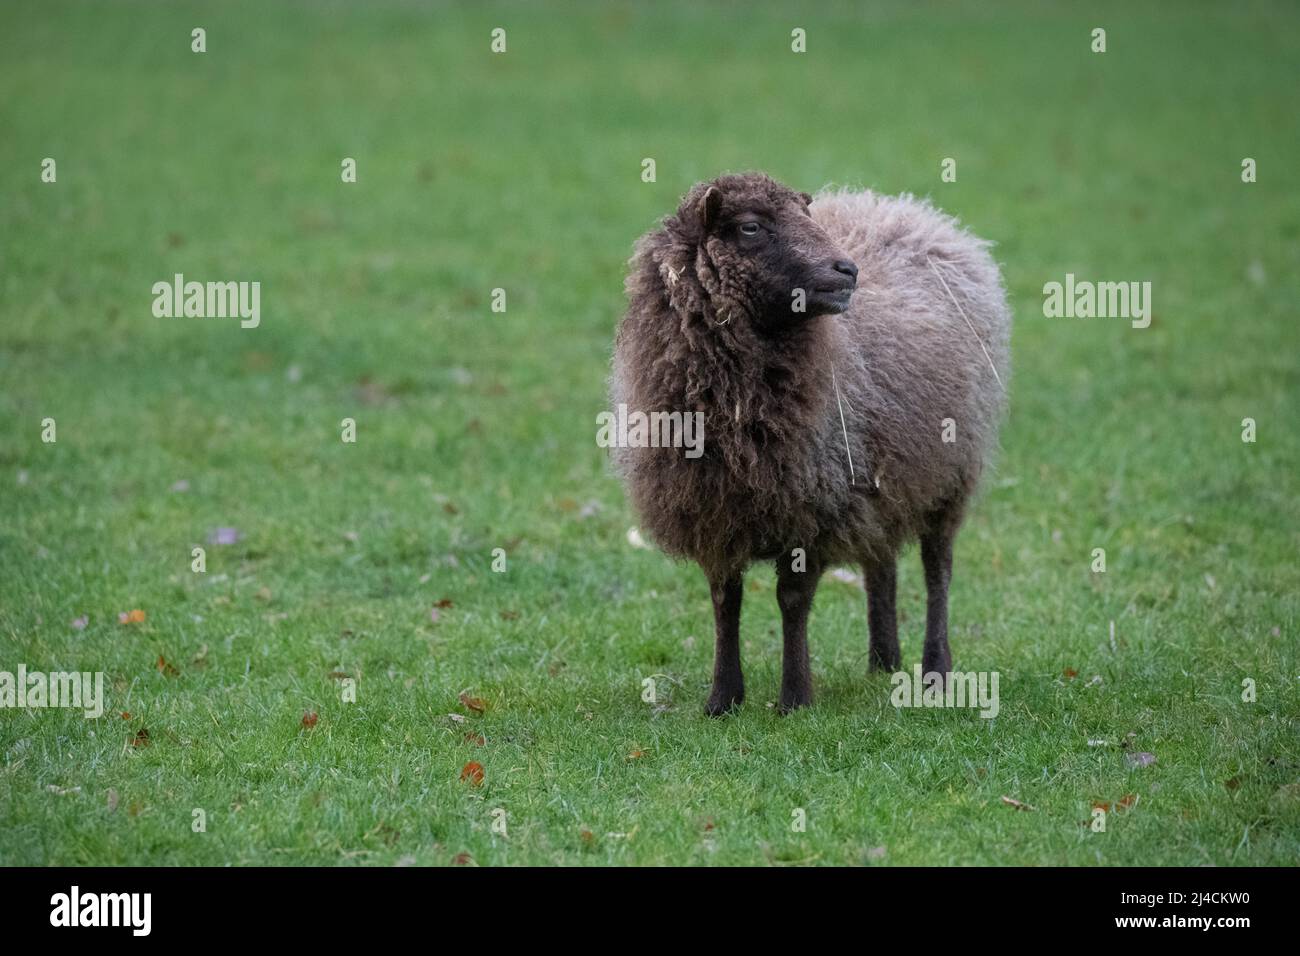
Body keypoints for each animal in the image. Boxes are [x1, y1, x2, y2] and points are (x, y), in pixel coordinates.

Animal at [610, 172, 1011, 715]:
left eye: (806, 216)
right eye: (750, 227)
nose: (847, 270)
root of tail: (907, 209)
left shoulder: (813, 505)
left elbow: (793, 600)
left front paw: (795, 697)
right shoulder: (712, 508)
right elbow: (724, 600)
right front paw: (722, 699)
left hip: (948, 473)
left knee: (937, 569)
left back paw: (935, 672)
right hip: (880, 475)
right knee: (881, 564)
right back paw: (883, 661)